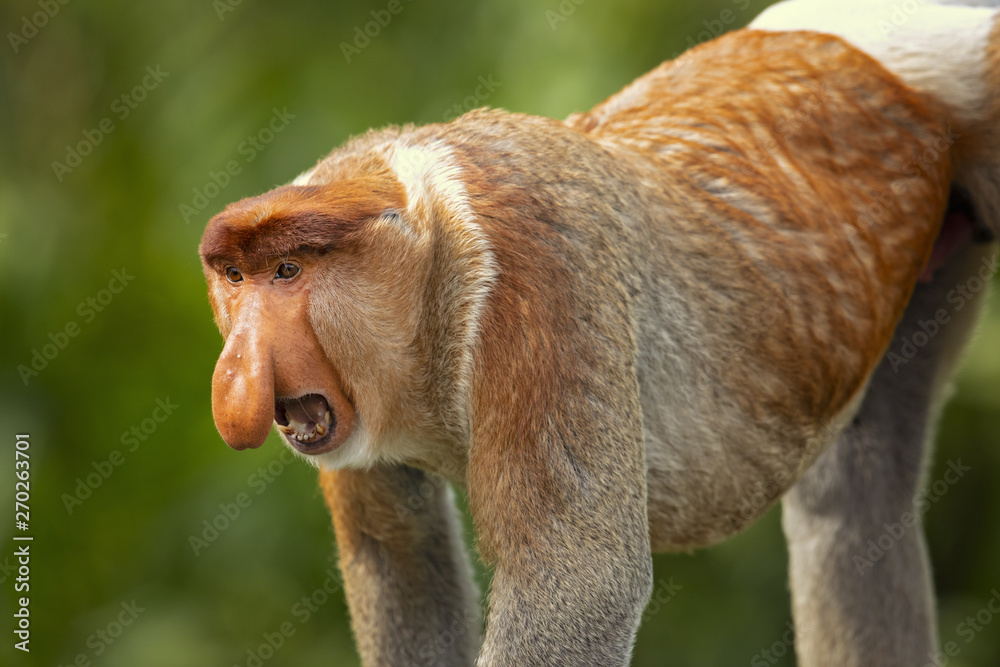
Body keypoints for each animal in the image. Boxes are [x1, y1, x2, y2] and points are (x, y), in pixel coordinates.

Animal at [199, 1, 1000, 665]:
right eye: (234, 276)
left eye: (287, 271)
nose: (235, 370)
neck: (437, 237)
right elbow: (398, 556)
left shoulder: (538, 270)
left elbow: (577, 582)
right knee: (859, 496)